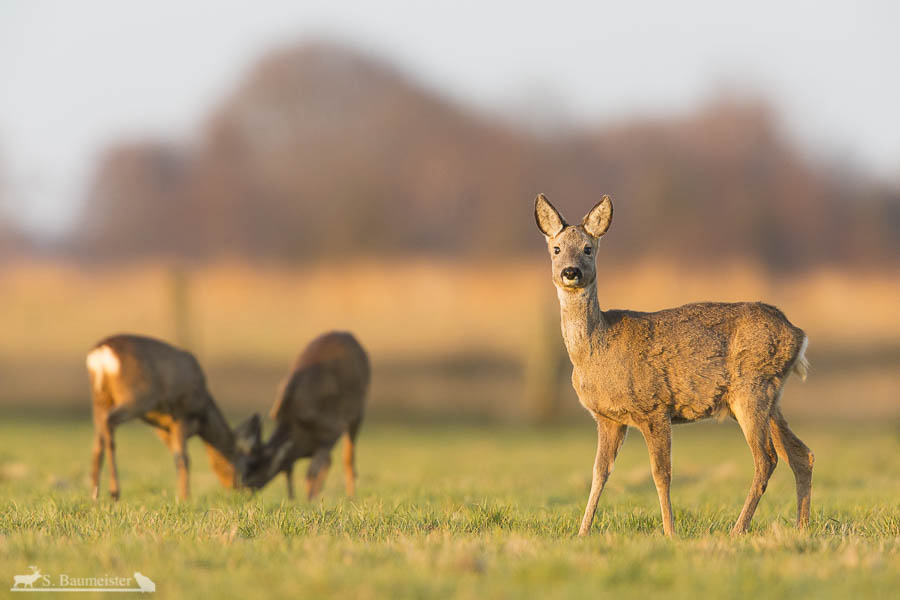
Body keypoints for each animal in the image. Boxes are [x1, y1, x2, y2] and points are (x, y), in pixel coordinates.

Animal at [86, 334, 262, 501]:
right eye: (249, 464)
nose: (246, 491)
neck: (204, 411)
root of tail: (101, 354)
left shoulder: (163, 428)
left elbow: (177, 455)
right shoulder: (181, 414)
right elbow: (183, 458)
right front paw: (185, 498)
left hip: (100, 400)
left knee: (97, 443)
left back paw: (95, 494)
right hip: (136, 397)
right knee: (109, 423)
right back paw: (114, 492)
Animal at [236, 331, 369, 500]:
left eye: (254, 465)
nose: (242, 488)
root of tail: (348, 334)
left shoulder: (332, 429)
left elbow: (311, 472)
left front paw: (309, 500)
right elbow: (292, 471)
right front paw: (295, 499)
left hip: (358, 410)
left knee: (349, 458)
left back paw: (351, 496)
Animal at [534, 194, 814, 537]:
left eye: (588, 248)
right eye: (556, 248)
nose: (571, 272)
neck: (595, 351)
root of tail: (798, 334)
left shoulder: (654, 407)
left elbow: (661, 473)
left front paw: (669, 532)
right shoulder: (607, 417)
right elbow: (599, 472)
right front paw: (582, 532)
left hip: (753, 389)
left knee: (767, 458)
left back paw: (738, 530)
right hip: (770, 398)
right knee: (801, 454)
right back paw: (801, 528)